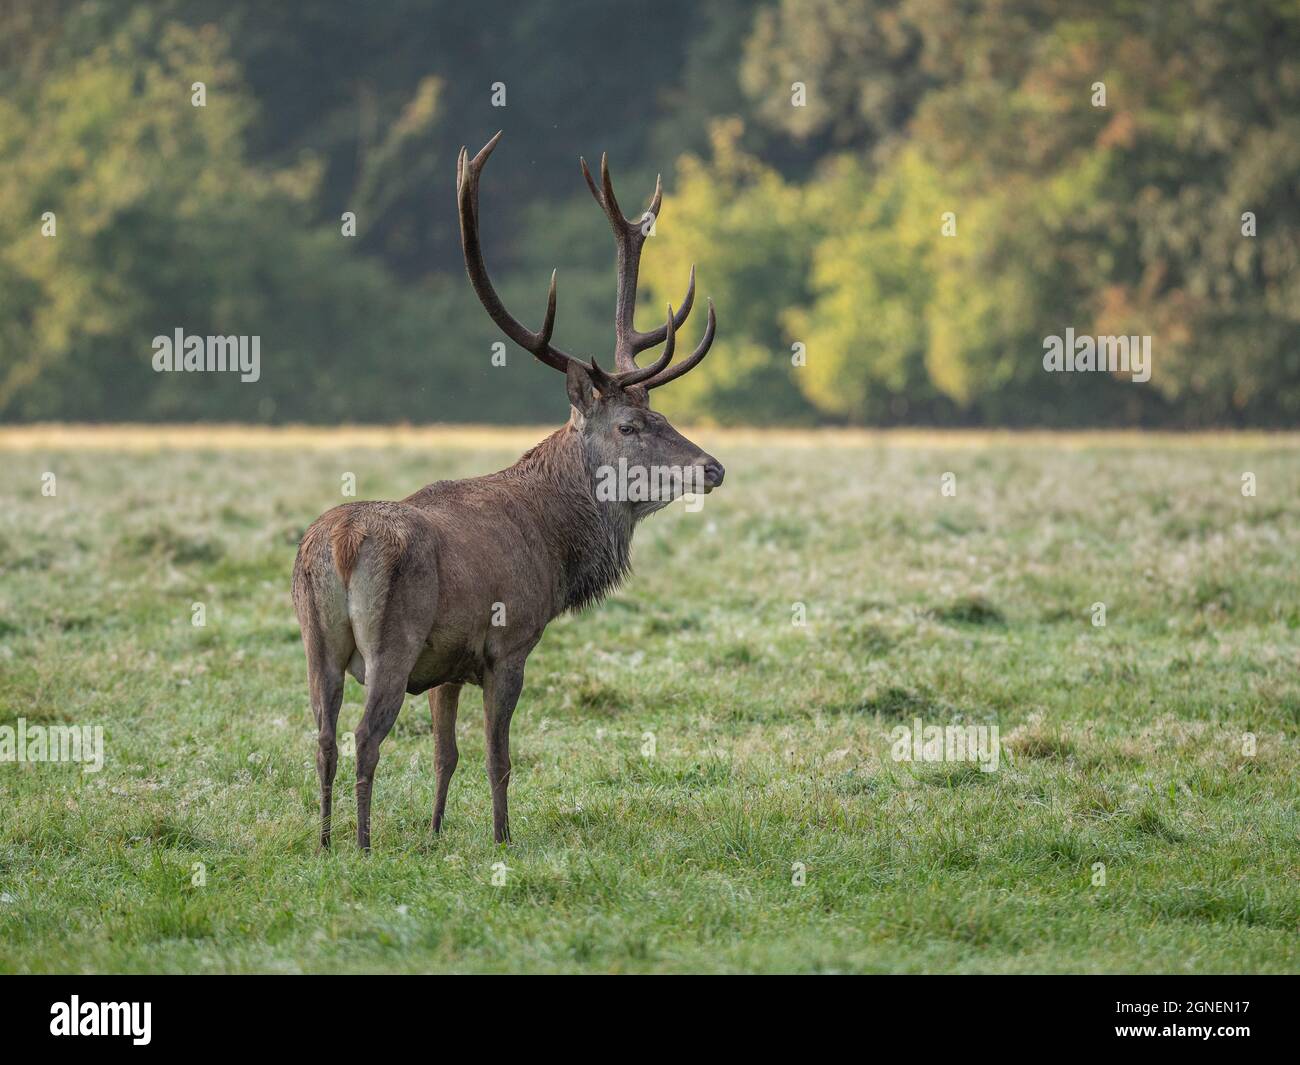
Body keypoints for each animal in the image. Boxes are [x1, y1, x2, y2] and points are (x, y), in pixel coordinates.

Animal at [291, 132, 724, 849]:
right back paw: (362, 842)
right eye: (632, 425)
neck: (556, 544)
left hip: (314, 639)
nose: (713, 467)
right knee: (363, 736)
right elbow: (498, 756)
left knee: (322, 736)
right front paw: (502, 837)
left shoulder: (445, 664)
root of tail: (338, 545)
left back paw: (324, 841)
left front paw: (436, 834)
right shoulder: (510, 640)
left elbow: (446, 754)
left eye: (662, 414)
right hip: (391, 639)